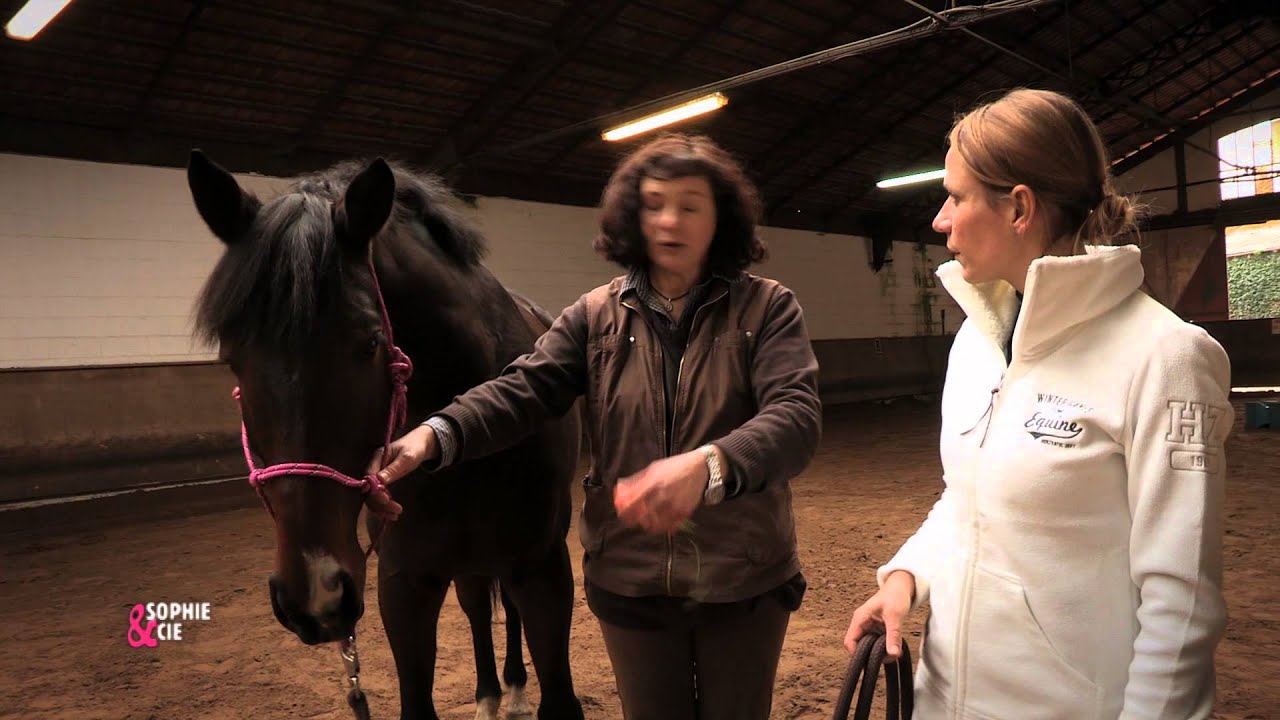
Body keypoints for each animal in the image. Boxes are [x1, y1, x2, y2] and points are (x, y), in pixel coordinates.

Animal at [186, 150, 584, 720]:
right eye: (230, 356)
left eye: (371, 342)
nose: (316, 596)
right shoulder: (404, 582)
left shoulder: (543, 569)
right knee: (477, 609)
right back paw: (490, 694)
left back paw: (510, 691)